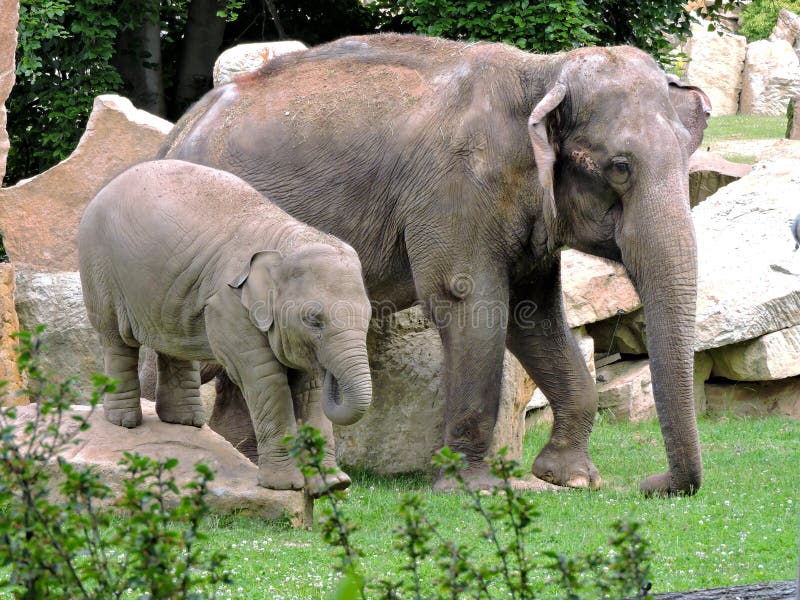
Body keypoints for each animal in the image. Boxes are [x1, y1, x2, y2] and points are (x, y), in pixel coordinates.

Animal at [78, 159, 373, 495]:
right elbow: (265, 379)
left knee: (173, 343)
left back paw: (185, 423)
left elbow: (308, 385)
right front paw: (285, 486)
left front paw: (330, 486)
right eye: (314, 319)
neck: (285, 240)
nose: (332, 375)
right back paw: (125, 422)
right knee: (116, 340)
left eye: (369, 316)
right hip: (99, 268)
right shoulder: (230, 304)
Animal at [159, 34, 710, 496]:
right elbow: (471, 303)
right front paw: (474, 487)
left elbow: (534, 316)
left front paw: (569, 478)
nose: (650, 485)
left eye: (689, 156)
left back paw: (244, 461)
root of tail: (177, 130)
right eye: (620, 168)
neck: (540, 72)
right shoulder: (455, 191)